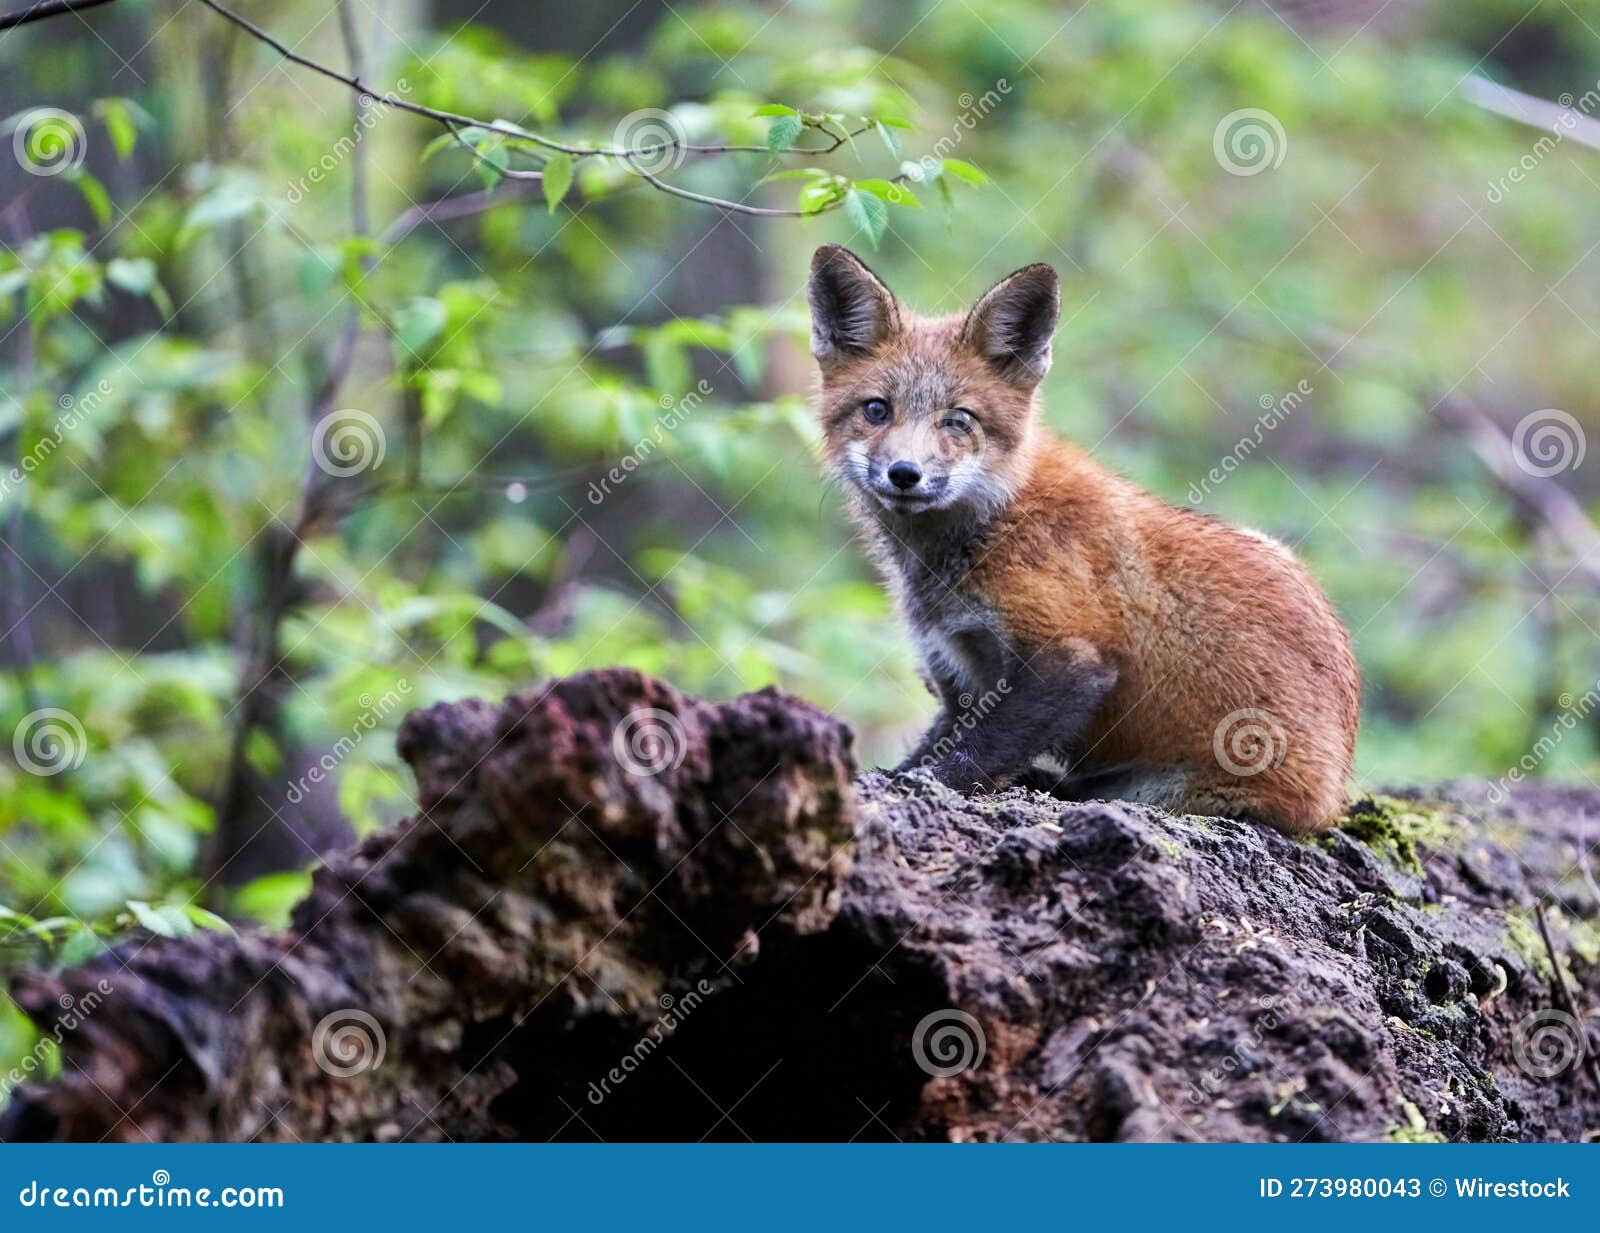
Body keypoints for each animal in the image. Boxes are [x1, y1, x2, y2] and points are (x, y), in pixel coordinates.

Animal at [806, 244, 1360, 835]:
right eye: (876, 409)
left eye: (958, 420)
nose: (904, 474)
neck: (994, 519)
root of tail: (1336, 791)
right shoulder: (957, 671)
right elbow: (934, 746)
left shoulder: (1072, 657)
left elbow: (966, 758)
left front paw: (923, 786)